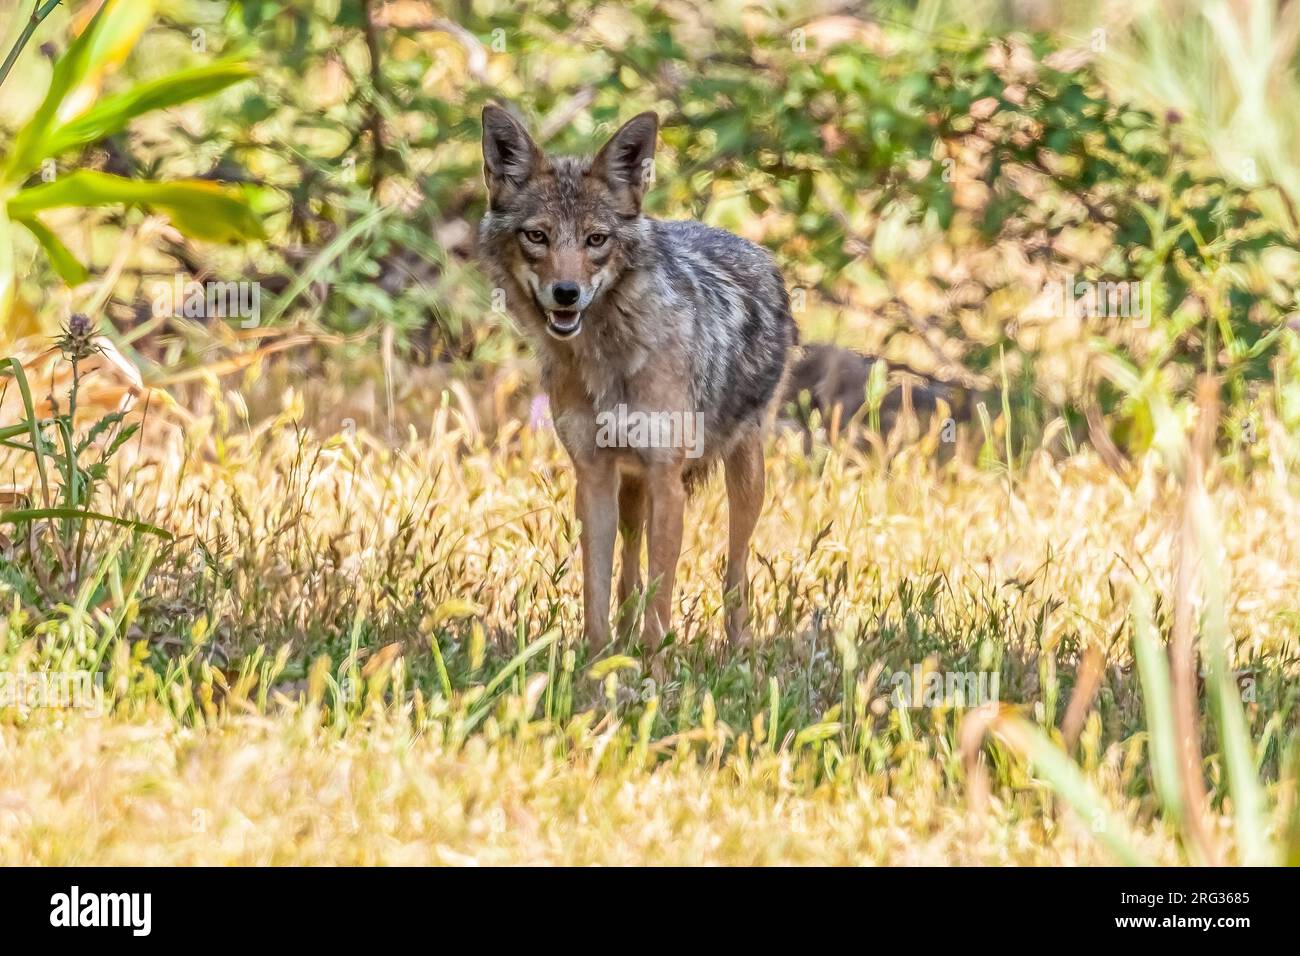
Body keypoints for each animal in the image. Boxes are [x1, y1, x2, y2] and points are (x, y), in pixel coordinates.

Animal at [478, 104, 796, 660]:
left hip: (744, 473)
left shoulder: (668, 480)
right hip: (631, 484)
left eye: (596, 240)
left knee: (735, 573)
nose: (567, 293)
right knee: (629, 571)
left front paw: (655, 668)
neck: (607, 355)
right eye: (537, 237)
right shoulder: (593, 475)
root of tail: (752, 247)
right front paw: (597, 664)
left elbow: (662, 597)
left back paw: (737, 652)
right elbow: (599, 589)